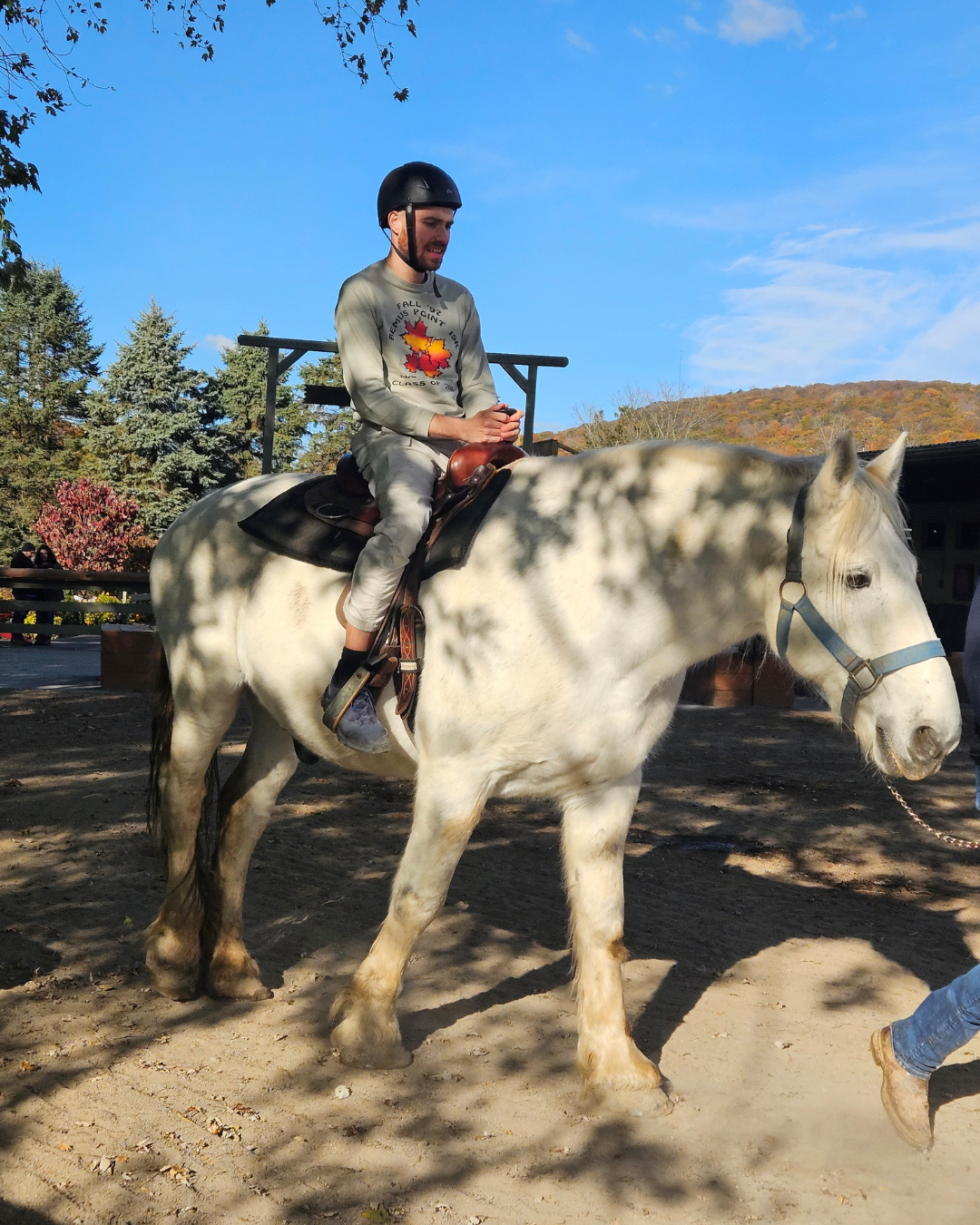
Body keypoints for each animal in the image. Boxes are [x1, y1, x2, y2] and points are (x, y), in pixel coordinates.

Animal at [144, 432, 960, 1114]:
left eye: (918, 571)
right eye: (859, 578)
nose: (936, 733)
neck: (587, 598)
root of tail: (198, 515)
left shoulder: (606, 791)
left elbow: (602, 923)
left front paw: (616, 1066)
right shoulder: (455, 782)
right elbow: (417, 898)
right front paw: (368, 1027)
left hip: (281, 719)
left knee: (243, 815)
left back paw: (233, 965)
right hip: (207, 692)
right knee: (185, 798)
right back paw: (174, 955)